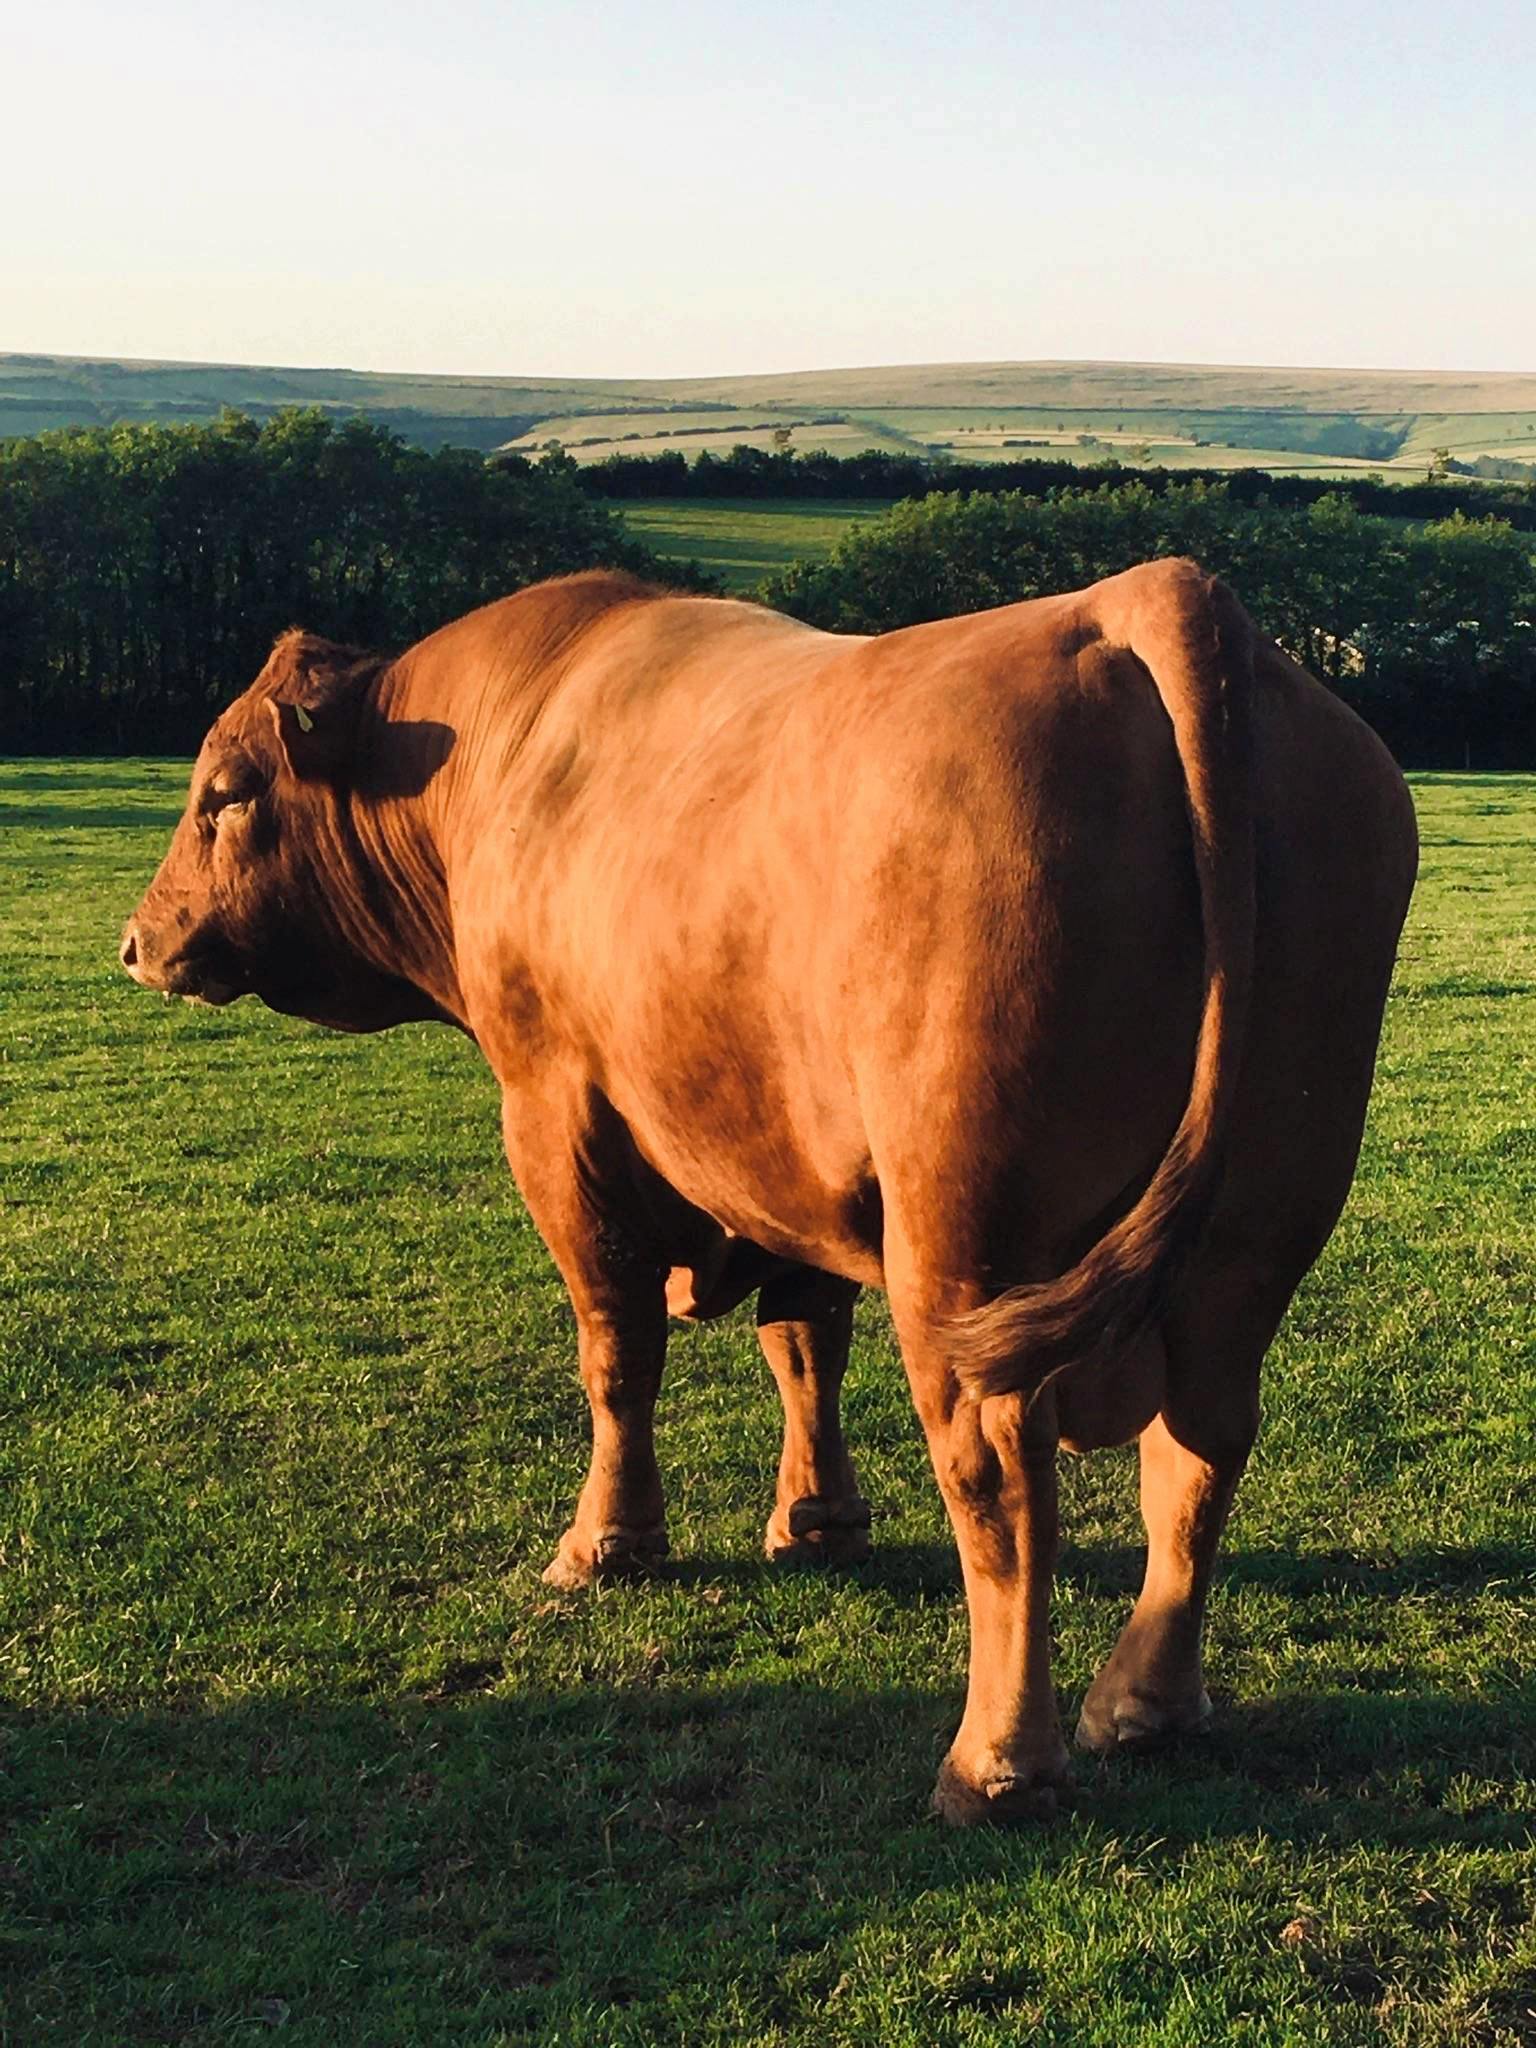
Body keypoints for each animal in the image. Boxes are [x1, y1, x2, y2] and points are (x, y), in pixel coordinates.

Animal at [121, 562, 1417, 1824]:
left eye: (224, 791)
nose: (138, 941)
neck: (498, 752)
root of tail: (1150, 592)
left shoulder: (555, 1112)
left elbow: (617, 1349)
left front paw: (607, 1541)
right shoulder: (784, 1146)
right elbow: (804, 1344)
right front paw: (817, 1522)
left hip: (968, 1235)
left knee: (1001, 1467)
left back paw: (995, 1763)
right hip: (1255, 1226)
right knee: (1199, 1445)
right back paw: (1147, 1702)